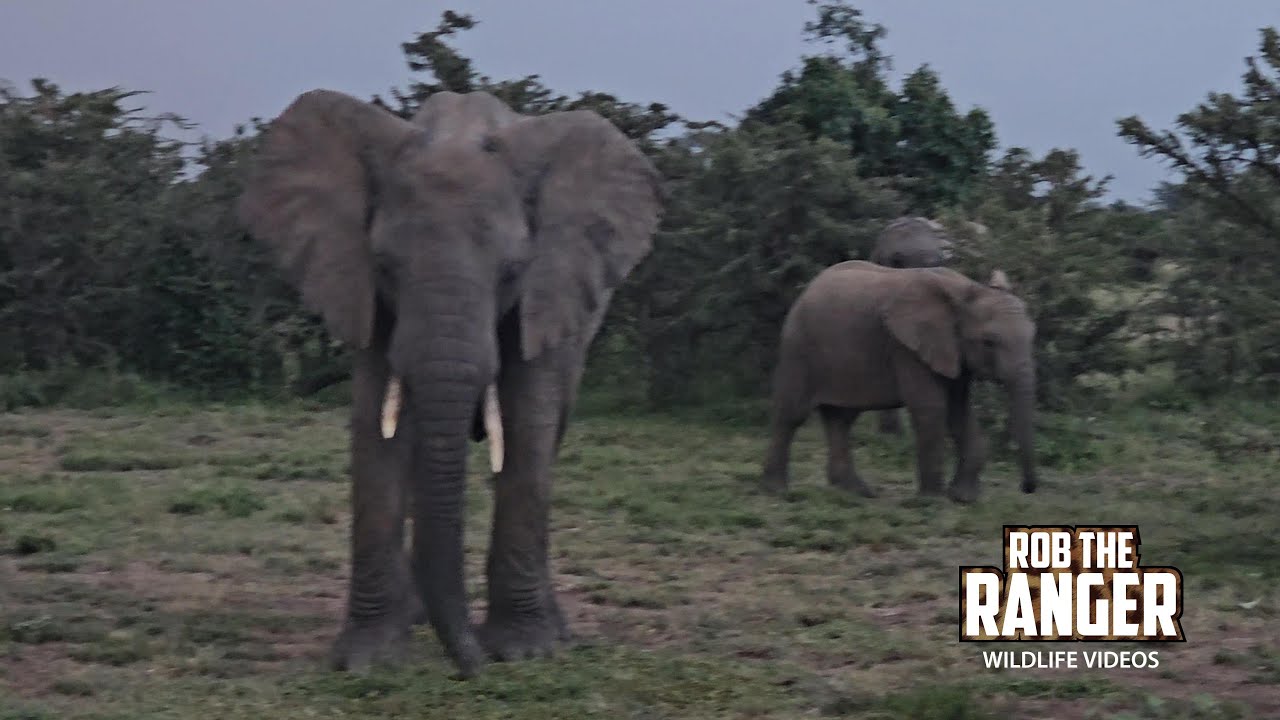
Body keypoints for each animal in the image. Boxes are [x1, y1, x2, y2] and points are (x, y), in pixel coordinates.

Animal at [237, 89, 663, 677]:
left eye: (513, 271)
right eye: (384, 265)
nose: (470, 668)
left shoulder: (549, 294)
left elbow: (528, 422)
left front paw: (524, 651)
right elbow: (377, 426)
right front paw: (368, 659)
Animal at [760, 260, 1038, 503]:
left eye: (1032, 335)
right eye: (989, 342)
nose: (1027, 488)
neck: (967, 289)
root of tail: (808, 288)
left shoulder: (954, 353)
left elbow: (959, 412)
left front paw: (964, 498)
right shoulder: (906, 347)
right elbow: (931, 408)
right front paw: (930, 500)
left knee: (841, 419)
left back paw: (855, 491)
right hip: (799, 346)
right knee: (792, 414)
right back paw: (778, 491)